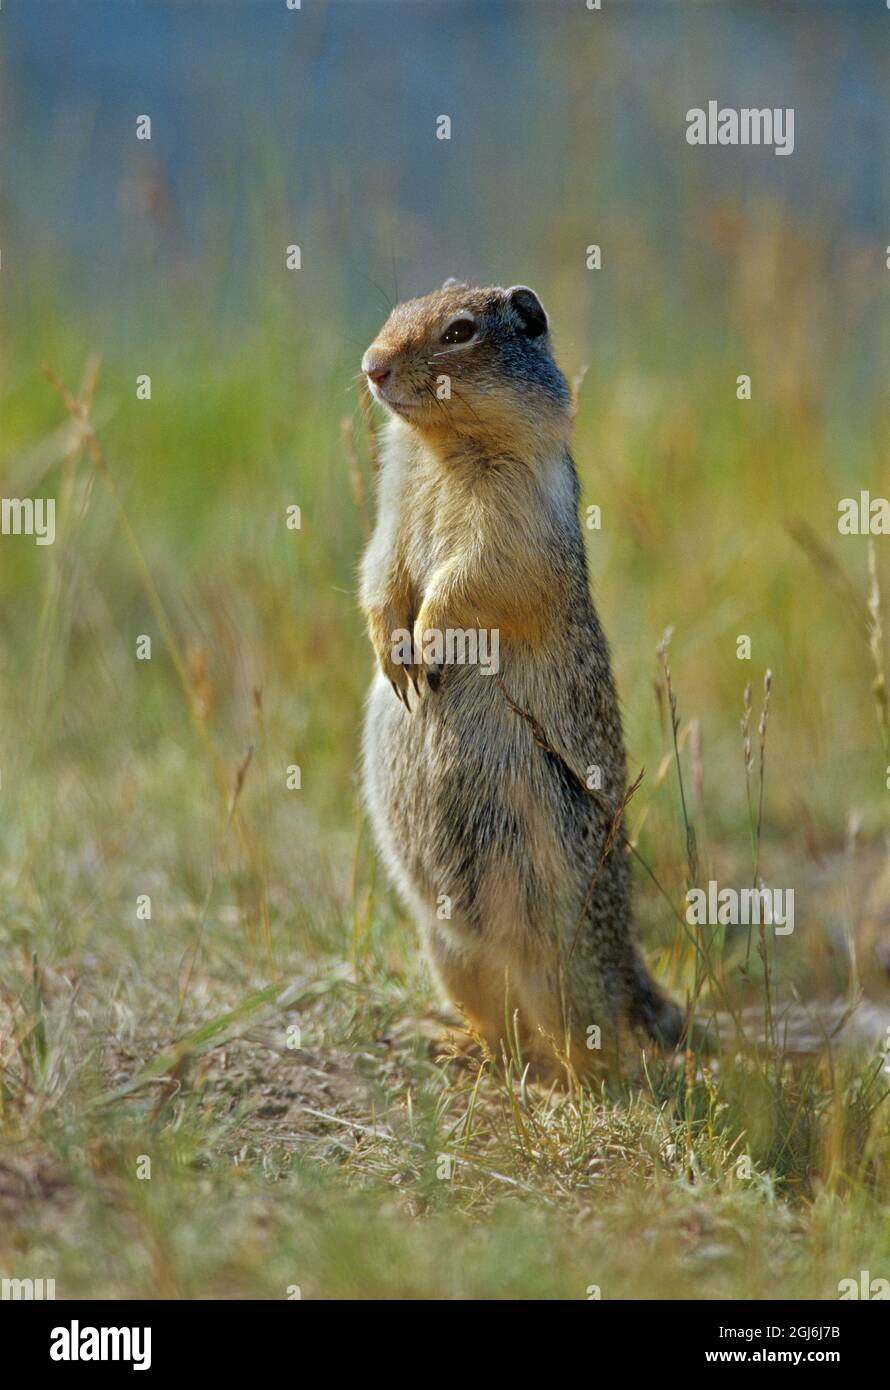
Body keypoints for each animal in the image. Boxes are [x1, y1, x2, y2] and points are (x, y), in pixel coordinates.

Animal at [358, 279, 685, 1078]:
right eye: (393, 312)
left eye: (460, 330)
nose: (371, 366)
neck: (441, 450)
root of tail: (625, 962)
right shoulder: (391, 511)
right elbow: (379, 569)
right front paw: (393, 649)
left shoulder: (515, 518)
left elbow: (478, 576)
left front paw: (429, 638)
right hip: (449, 951)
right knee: (506, 1028)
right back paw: (454, 1041)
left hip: (559, 960)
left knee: (587, 1042)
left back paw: (568, 1082)